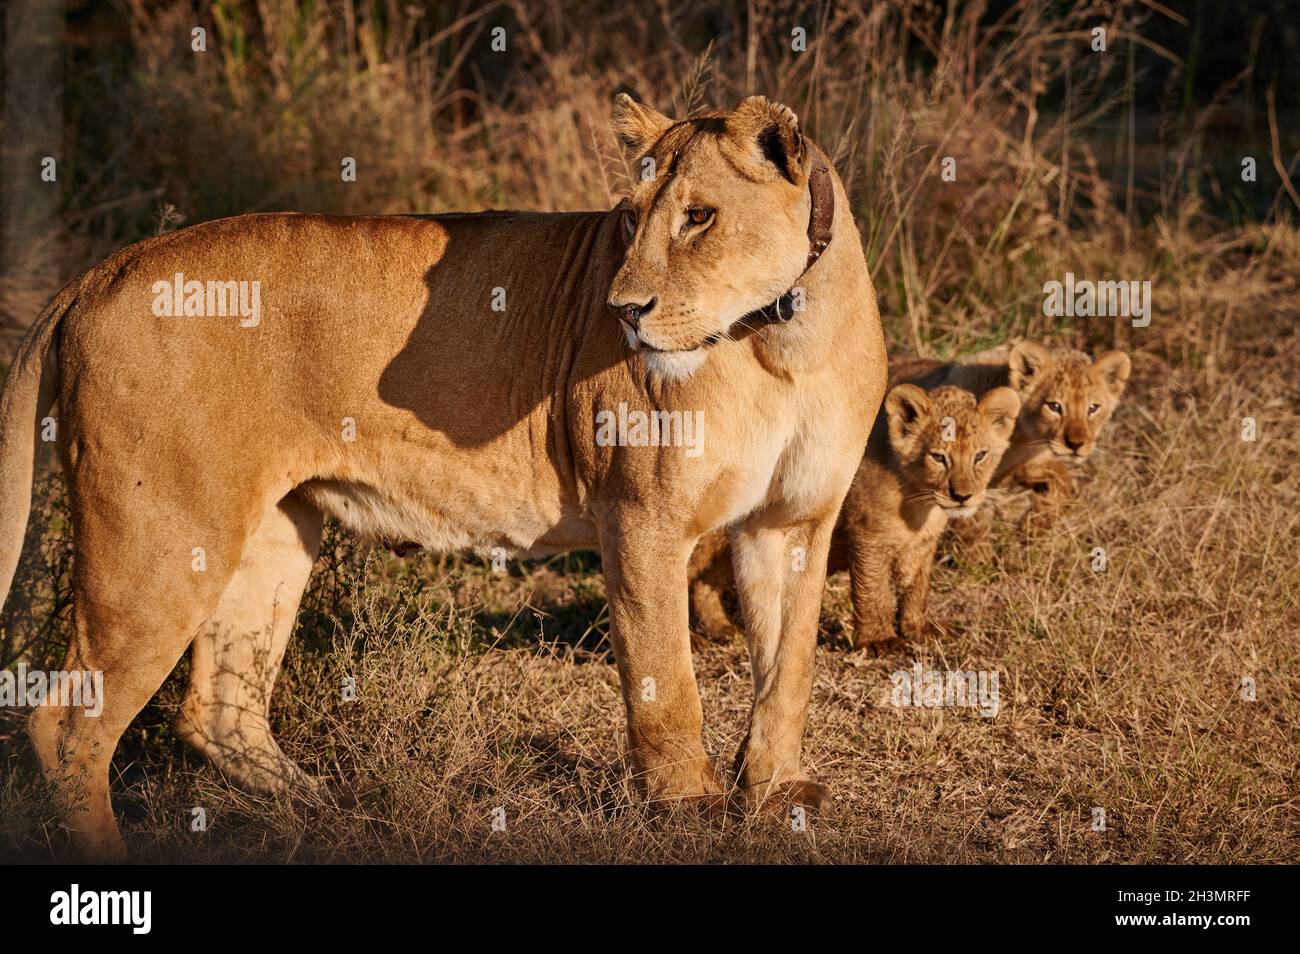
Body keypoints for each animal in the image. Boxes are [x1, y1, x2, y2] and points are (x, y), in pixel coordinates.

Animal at [0, 94, 886, 858]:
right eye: (630, 220)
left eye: (699, 216)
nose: (624, 310)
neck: (779, 338)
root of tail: (101, 271)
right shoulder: (641, 519)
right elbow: (666, 681)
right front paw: (691, 807)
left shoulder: (792, 520)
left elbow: (787, 667)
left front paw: (777, 791)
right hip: (162, 536)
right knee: (65, 725)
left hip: (275, 529)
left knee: (219, 706)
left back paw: (323, 811)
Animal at [690, 384, 1019, 649]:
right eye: (938, 457)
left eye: (980, 455)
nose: (963, 496)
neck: (919, 505)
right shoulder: (867, 538)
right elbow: (873, 590)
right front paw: (879, 641)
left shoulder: (922, 546)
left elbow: (917, 588)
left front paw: (919, 630)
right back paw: (694, 642)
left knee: (705, 582)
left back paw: (722, 629)